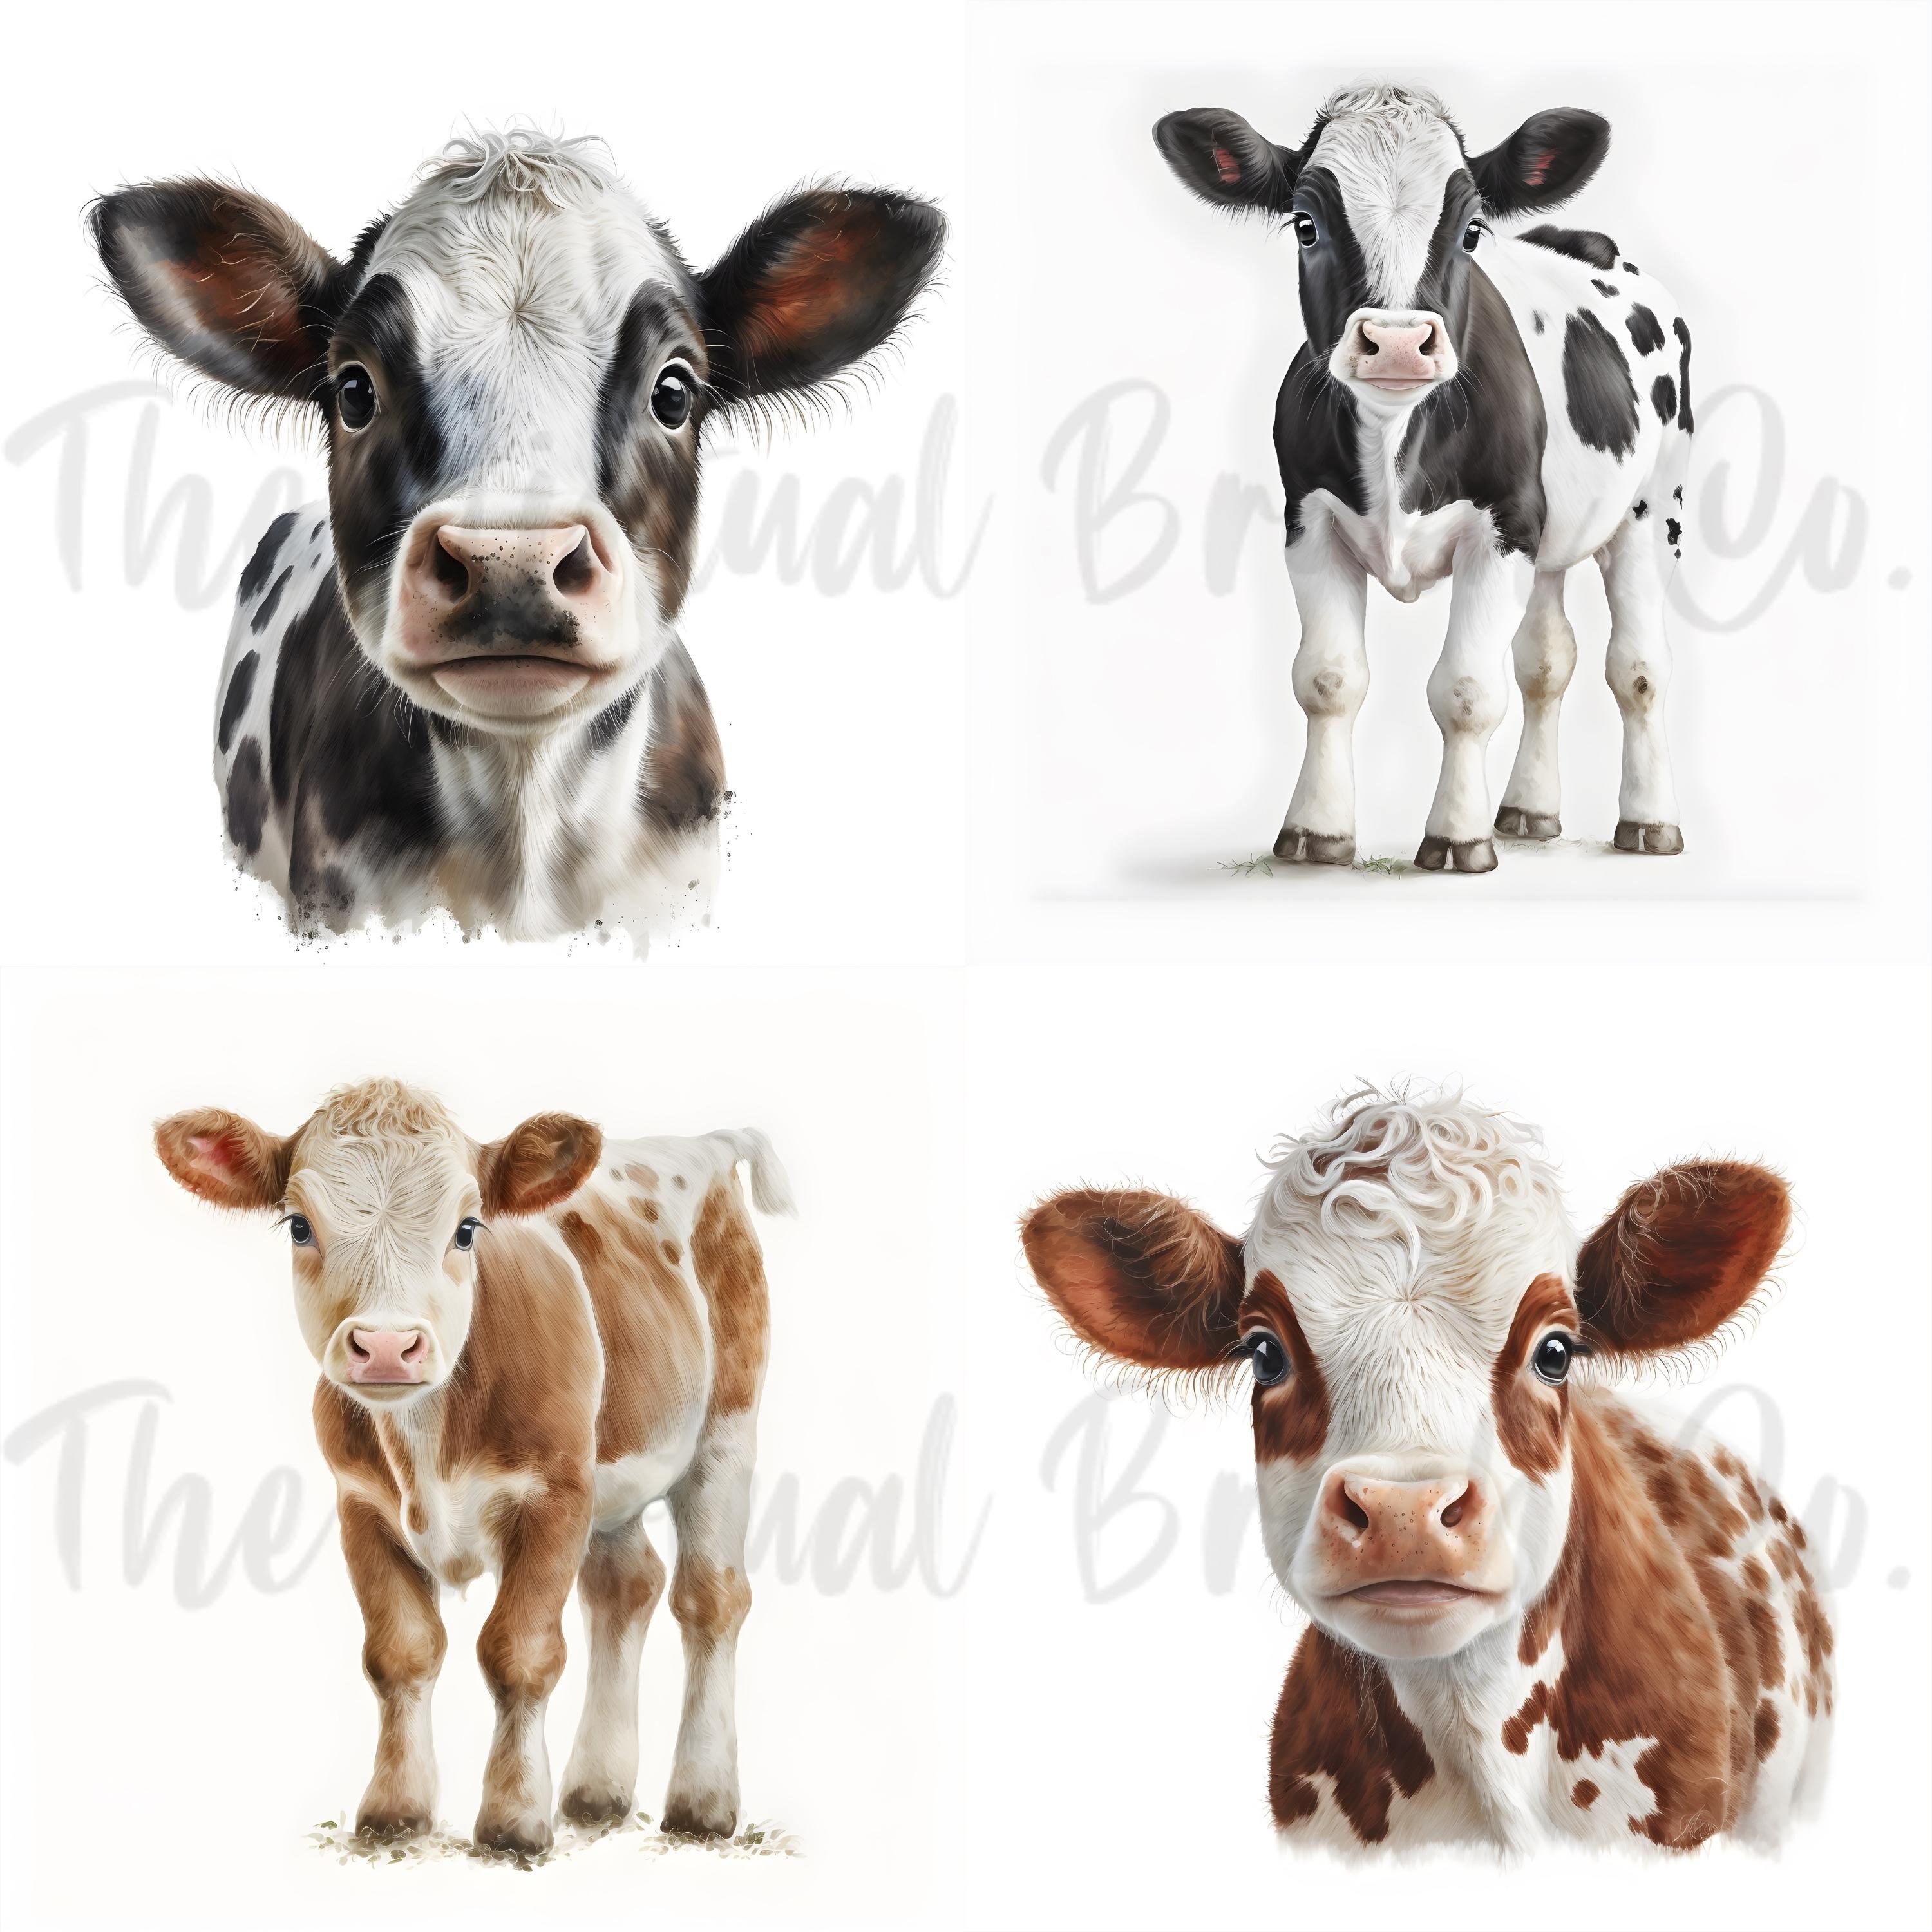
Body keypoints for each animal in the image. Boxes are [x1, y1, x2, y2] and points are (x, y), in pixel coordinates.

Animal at [154, 1077, 793, 1854]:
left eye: (467, 1228)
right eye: (300, 1226)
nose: (388, 1345)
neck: (426, 1439)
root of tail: (702, 1141)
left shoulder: (556, 1494)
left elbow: (521, 1651)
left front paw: (514, 1820)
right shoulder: (360, 1505)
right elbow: (400, 1652)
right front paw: (395, 1810)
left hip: (726, 1434)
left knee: (710, 1599)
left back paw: (702, 1802)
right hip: (614, 1480)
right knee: (626, 1586)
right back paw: (597, 1791)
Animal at [1154, 85, 1693, 871]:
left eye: (1471, 230)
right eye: (1305, 225)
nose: (1400, 343)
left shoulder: (1501, 528)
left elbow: (1467, 689)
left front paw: (1457, 837)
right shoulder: (1308, 522)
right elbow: (1328, 679)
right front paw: (1316, 831)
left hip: (1653, 511)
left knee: (1641, 670)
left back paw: (1650, 825)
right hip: (1554, 535)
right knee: (1545, 661)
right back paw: (1529, 812)